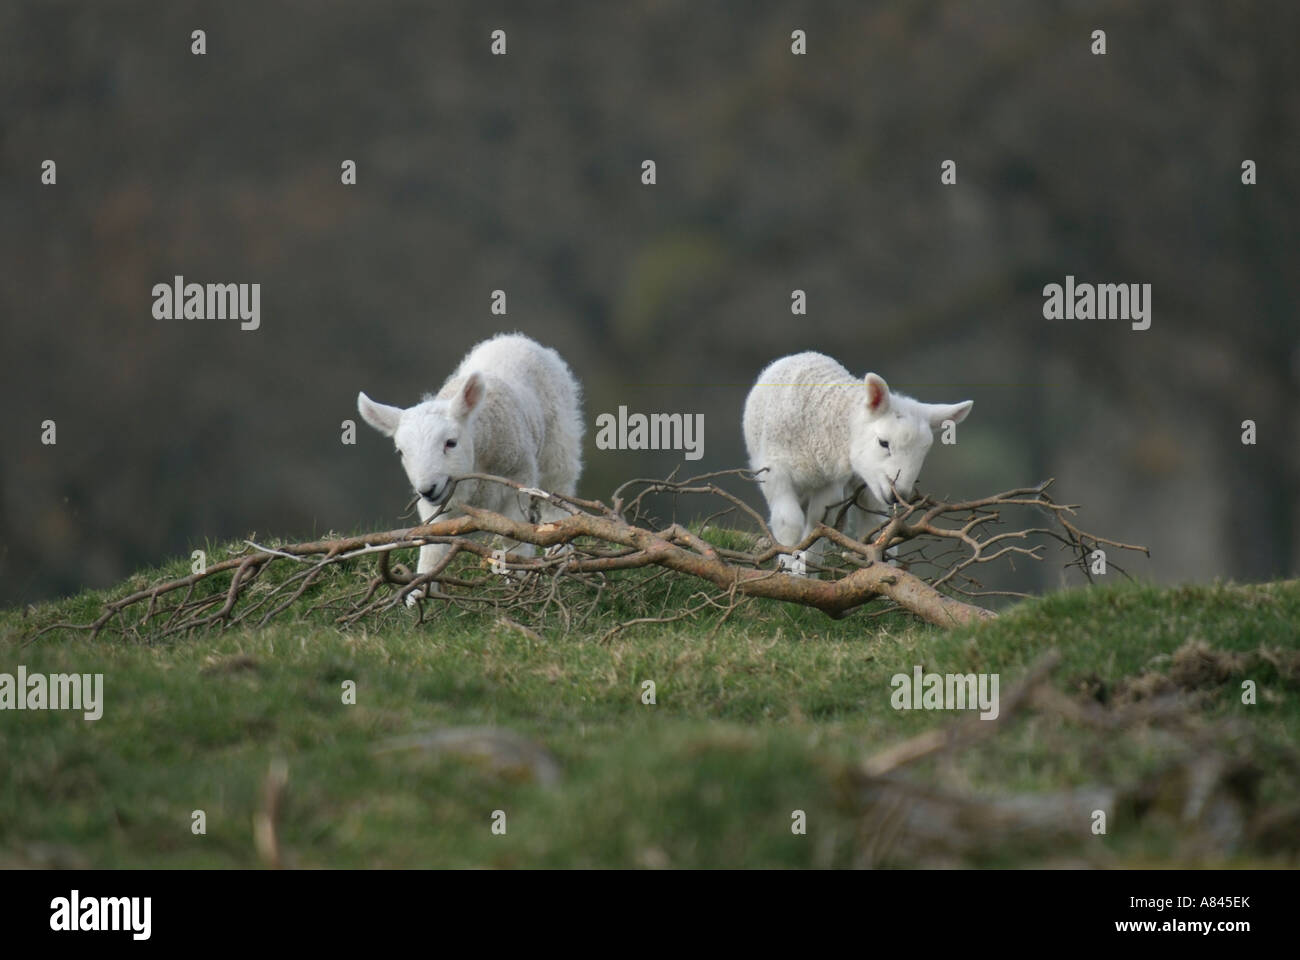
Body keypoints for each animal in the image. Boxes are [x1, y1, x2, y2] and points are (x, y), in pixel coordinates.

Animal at [357, 333, 583, 602]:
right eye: (401, 452)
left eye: (450, 443)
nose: (427, 489)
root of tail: (514, 338)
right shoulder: (437, 506)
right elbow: (432, 545)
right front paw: (420, 590)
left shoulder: (517, 479)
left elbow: (513, 536)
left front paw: (516, 581)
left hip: (559, 447)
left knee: (556, 502)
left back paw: (561, 553)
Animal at [742, 351, 972, 569]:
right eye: (883, 443)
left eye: (923, 452)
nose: (898, 495)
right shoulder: (774, 471)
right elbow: (788, 523)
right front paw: (788, 567)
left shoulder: (830, 482)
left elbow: (819, 522)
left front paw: (807, 565)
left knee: (876, 525)